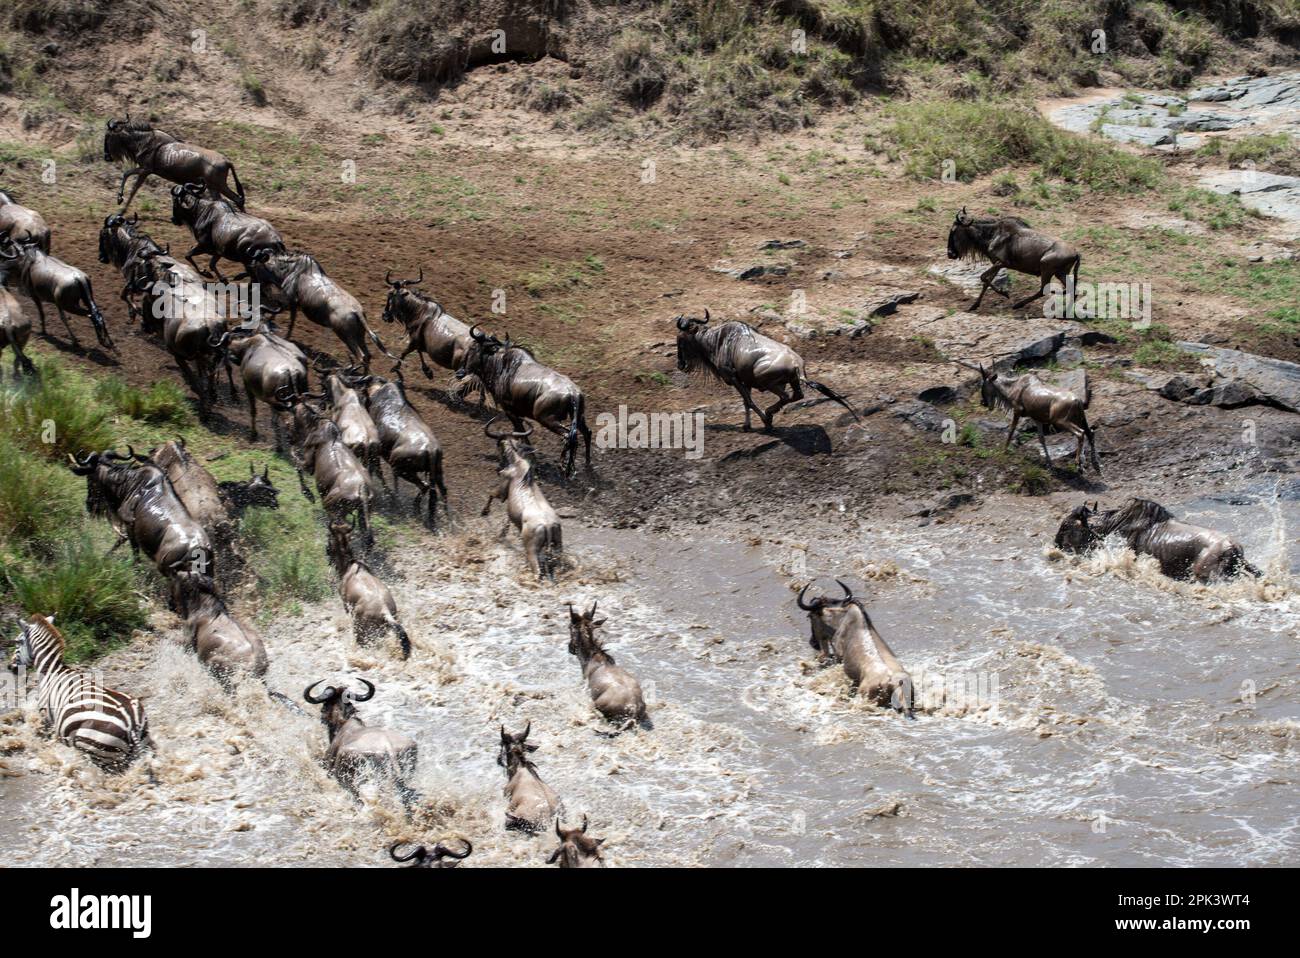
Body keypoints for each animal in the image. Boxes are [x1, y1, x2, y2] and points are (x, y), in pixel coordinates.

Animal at [325, 520, 411, 659]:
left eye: (329, 538)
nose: (327, 552)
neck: (350, 567)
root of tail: (384, 610)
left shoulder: (345, 605)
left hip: (360, 629)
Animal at [482, 419, 562, 581]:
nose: (498, 467)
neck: (517, 466)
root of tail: (548, 526)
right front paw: (502, 533)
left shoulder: (502, 492)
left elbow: (491, 494)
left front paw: (484, 512)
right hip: (558, 546)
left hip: (532, 550)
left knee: (538, 572)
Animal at [675, 310, 858, 431]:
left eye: (680, 339)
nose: (680, 365)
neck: (720, 340)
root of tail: (797, 364)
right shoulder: (745, 380)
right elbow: (745, 402)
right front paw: (747, 425)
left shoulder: (734, 378)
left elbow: (749, 401)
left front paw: (764, 421)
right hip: (789, 382)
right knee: (796, 396)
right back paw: (771, 412)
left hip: (767, 381)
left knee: (786, 396)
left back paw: (769, 414)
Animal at [946, 208, 1081, 311]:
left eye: (954, 231)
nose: (950, 254)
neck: (992, 235)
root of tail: (1076, 252)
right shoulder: (997, 264)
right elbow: (986, 282)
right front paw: (974, 305)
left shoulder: (1001, 263)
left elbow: (983, 277)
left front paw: (1005, 293)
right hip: (1060, 273)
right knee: (1071, 290)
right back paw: (1067, 312)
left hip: (1046, 268)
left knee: (1044, 290)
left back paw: (1018, 305)